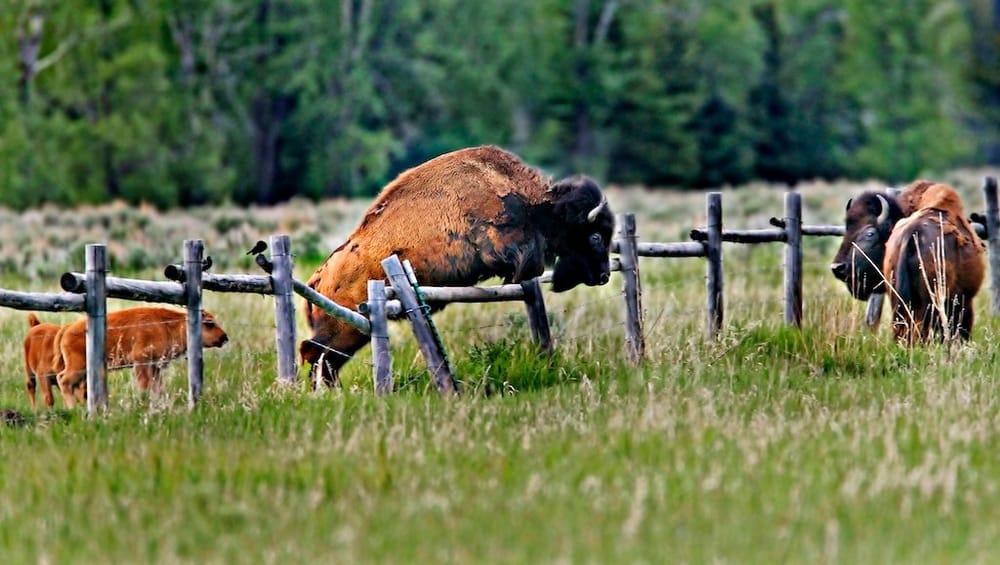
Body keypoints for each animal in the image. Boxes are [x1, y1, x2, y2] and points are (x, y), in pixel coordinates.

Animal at [302, 145, 615, 386]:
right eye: (596, 235)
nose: (604, 276)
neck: (534, 204)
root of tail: (317, 278)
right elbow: (528, 266)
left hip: (354, 332)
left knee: (324, 359)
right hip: (345, 330)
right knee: (315, 354)